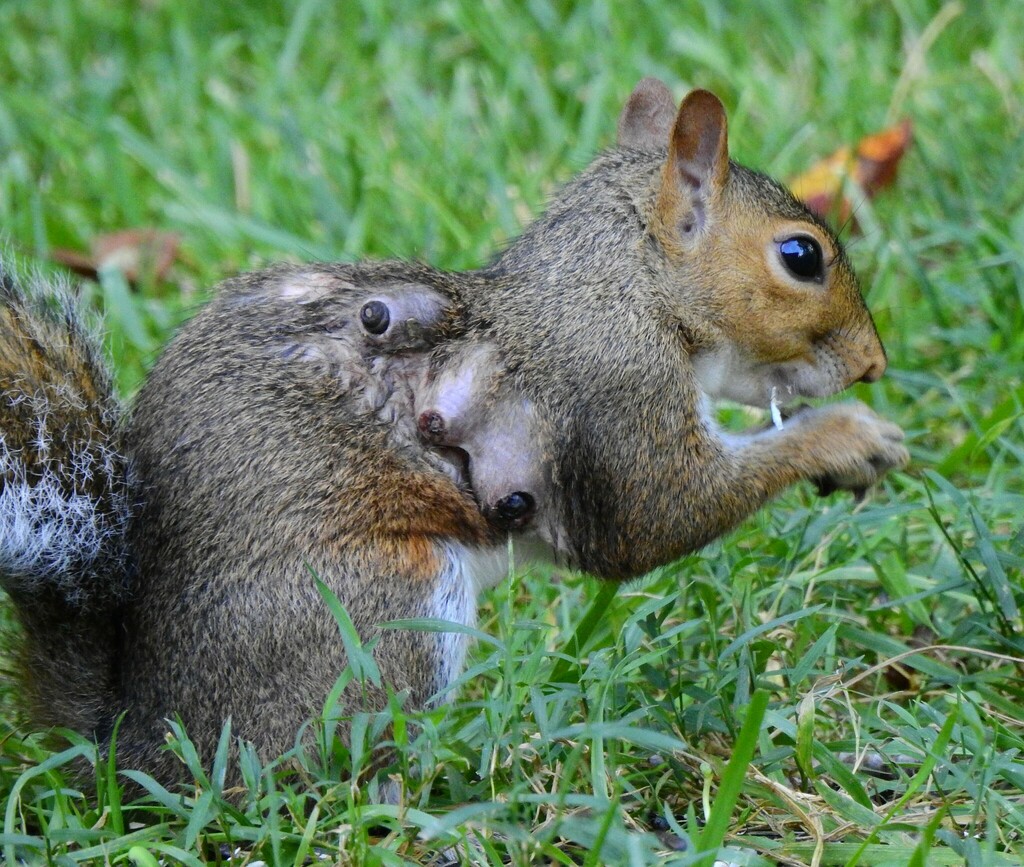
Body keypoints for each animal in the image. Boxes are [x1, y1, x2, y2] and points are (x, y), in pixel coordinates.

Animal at [0, 79, 908, 788]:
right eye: (801, 255)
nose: (874, 361)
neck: (621, 284)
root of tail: (131, 745)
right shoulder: (614, 387)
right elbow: (655, 518)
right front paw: (848, 437)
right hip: (385, 607)